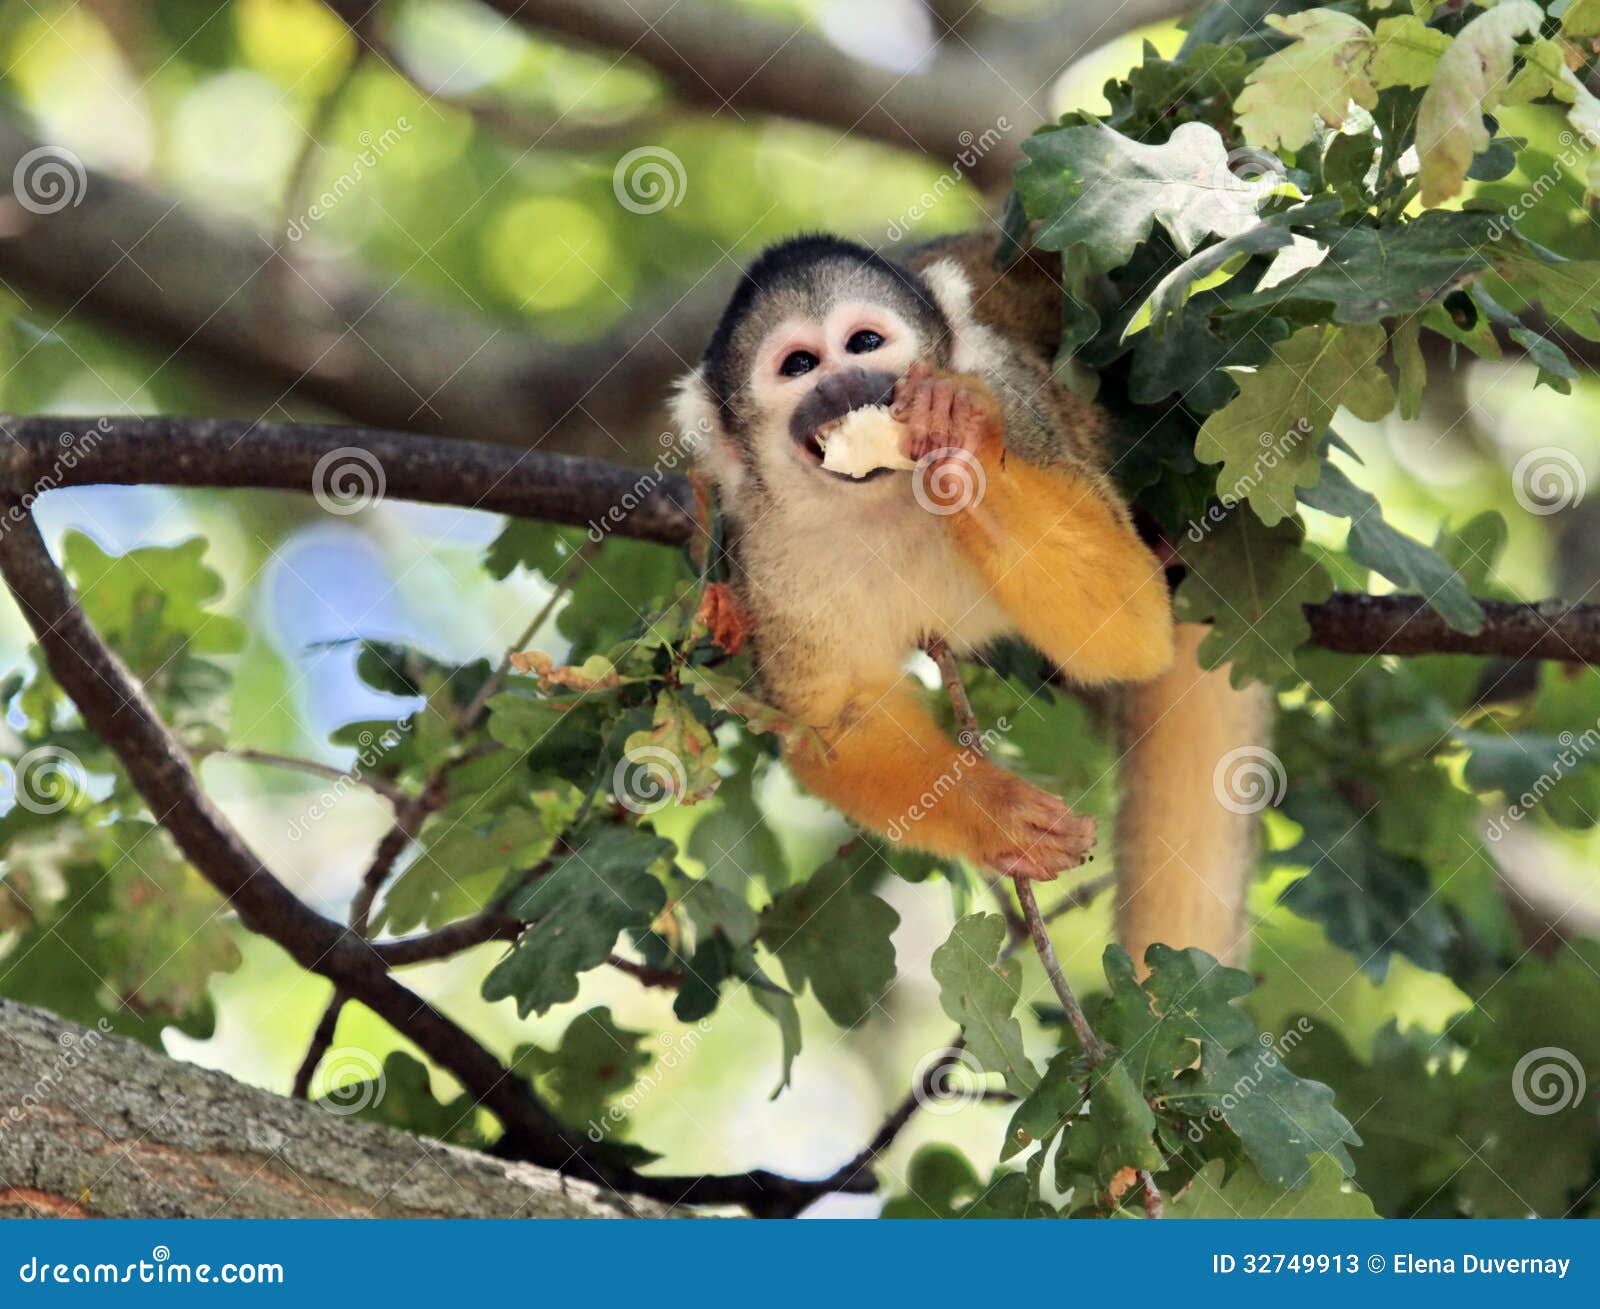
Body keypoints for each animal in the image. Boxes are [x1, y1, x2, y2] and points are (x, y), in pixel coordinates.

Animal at [672, 232, 1270, 966]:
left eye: (863, 342)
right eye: (800, 365)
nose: (840, 384)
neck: (880, 498)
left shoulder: (1014, 403)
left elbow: (1128, 627)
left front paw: (961, 444)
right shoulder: (765, 547)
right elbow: (837, 722)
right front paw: (998, 814)